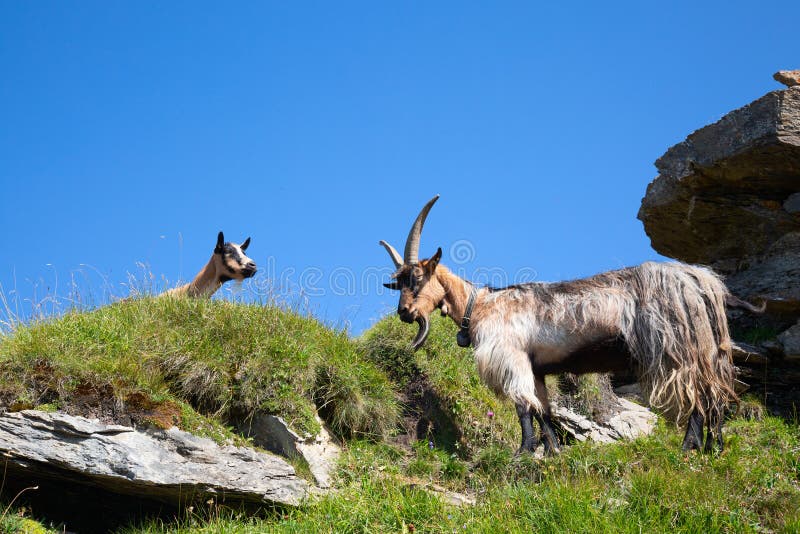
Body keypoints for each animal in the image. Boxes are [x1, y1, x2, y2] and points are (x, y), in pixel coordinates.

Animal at [380, 196, 757, 454]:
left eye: (416, 277)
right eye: (397, 284)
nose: (404, 313)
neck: (481, 304)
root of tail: (702, 281)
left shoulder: (511, 356)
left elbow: (523, 406)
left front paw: (523, 452)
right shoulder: (536, 367)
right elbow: (544, 410)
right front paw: (553, 451)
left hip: (676, 346)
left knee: (696, 391)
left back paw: (689, 445)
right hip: (704, 348)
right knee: (714, 392)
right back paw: (715, 447)